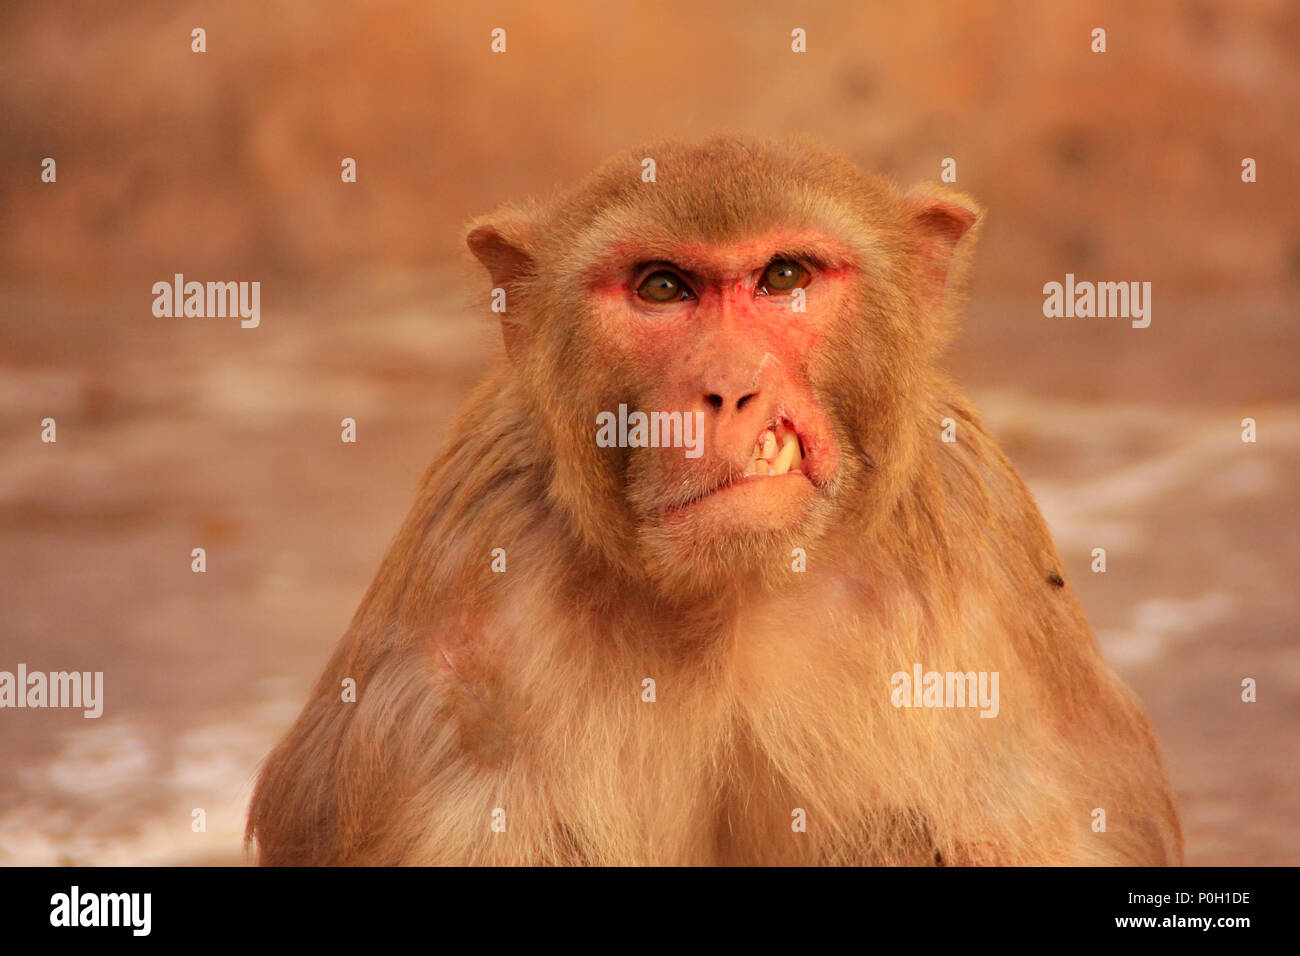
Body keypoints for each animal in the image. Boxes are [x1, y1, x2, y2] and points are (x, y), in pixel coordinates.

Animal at [247, 136, 1183, 866]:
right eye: (662, 288)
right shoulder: (463, 605)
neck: (733, 598)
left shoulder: (985, 571)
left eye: (783, 276)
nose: (730, 386)